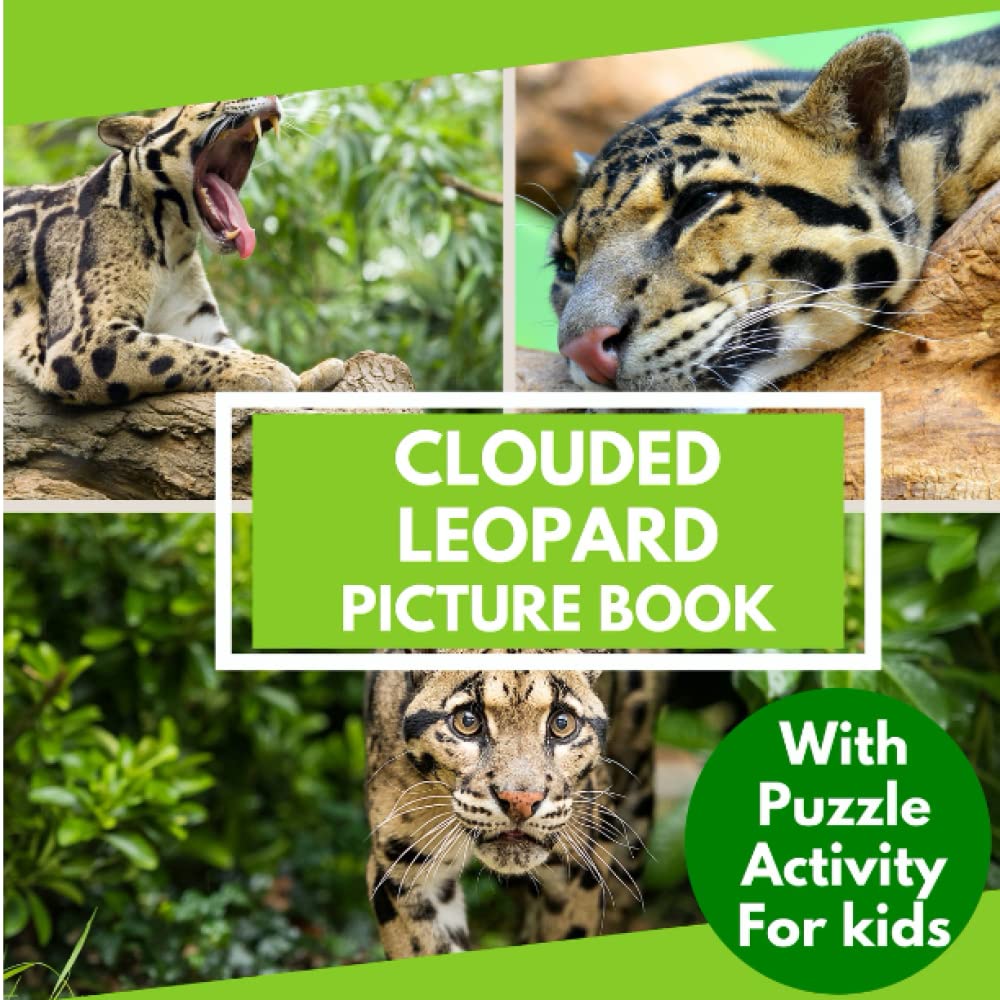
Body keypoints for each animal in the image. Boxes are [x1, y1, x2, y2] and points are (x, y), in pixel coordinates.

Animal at [3, 97, 344, 405]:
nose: (273, 96)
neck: (170, 245)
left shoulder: (197, 323)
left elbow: (210, 348)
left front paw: (311, 374)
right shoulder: (81, 341)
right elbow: (173, 352)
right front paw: (267, 370)